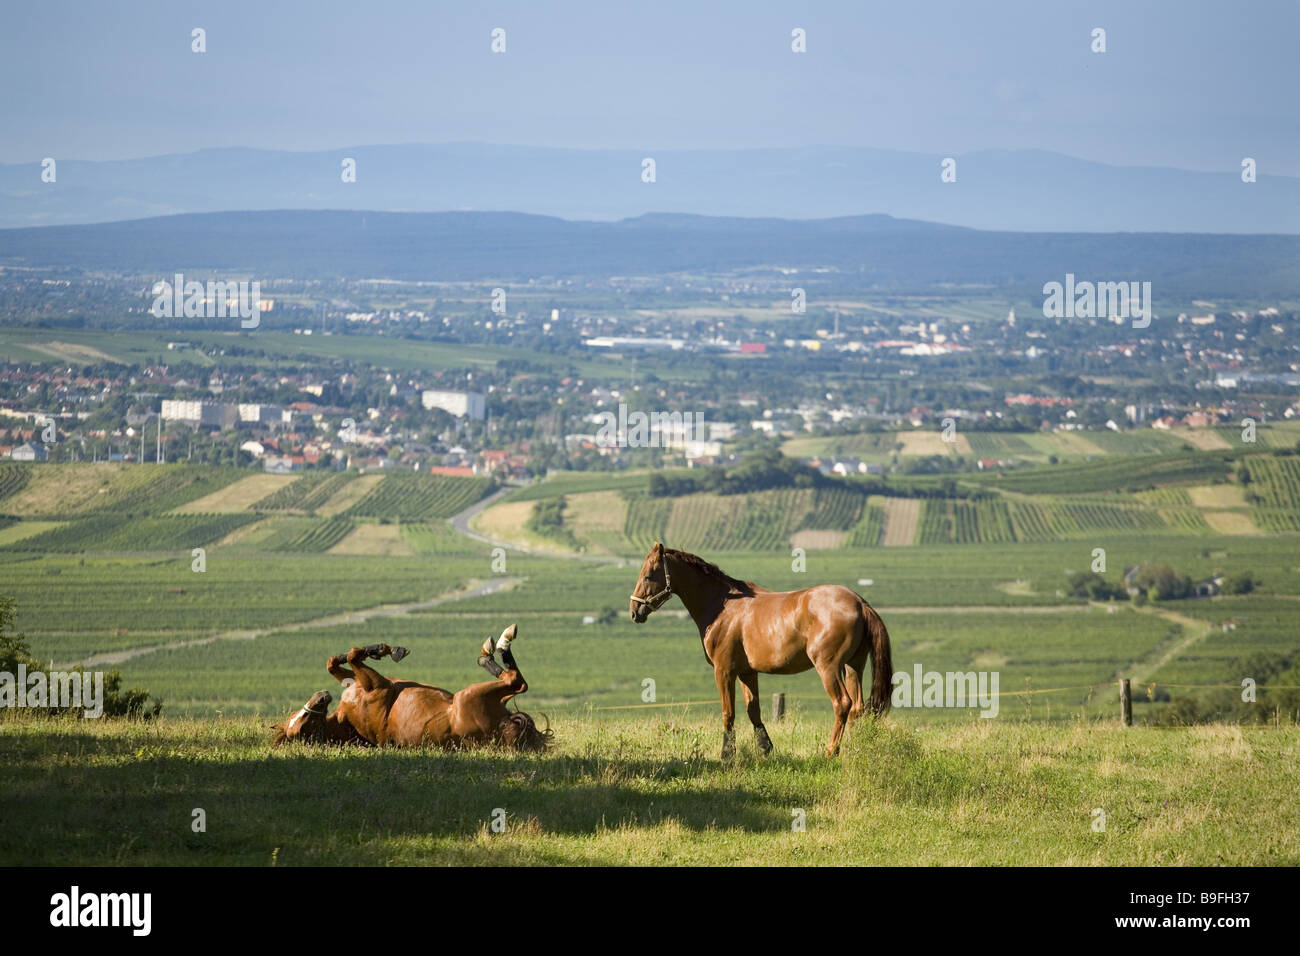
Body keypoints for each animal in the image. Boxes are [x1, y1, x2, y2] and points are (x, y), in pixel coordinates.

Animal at [272, 625, 552, 752]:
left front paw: (383, 649)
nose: (321, 697)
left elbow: (336, 662)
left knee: (515, 682)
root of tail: (499, 733)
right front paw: (384, 649)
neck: (347, 719)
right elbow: (352, 655)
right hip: (472, 695)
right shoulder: (379, 685)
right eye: (305, 725)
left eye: (300, 718)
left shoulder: (362, 680)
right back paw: (499, 643)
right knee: (516, 681)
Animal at [629, 542, 893, 758]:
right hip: (853, 666)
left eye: (649, 575)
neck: (723, 606)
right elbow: (753, 711)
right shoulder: (747, 672)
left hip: (828, 667)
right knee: (857, 707)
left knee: (842, 704)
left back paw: (831, 751)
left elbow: (728, 713)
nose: (634, 611)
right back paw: (855, 748)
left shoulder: (724, 671)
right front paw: (766, 748)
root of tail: (859, 602)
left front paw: (727, 754)